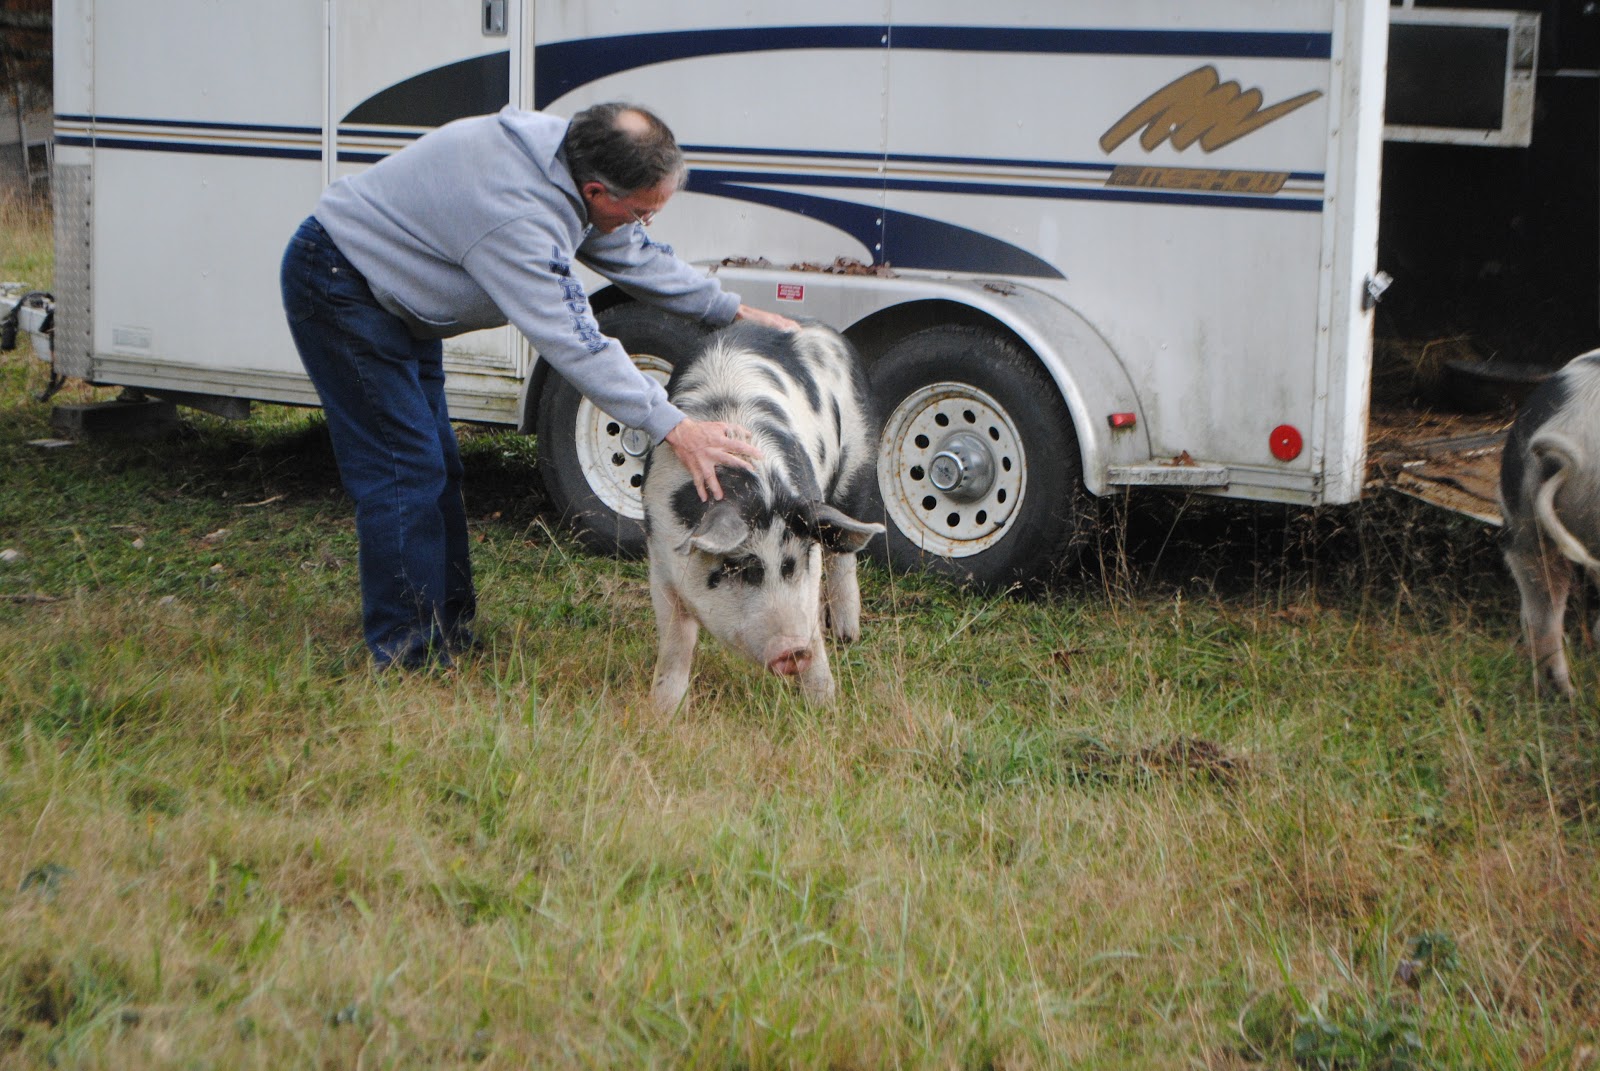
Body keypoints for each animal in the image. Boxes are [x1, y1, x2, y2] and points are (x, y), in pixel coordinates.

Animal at [642, 321, 885, 713]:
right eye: (739, 567)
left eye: (795, 563)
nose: (793, 651)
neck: (760, 489)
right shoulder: (661, 559)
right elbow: (677, 643)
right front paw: (663, 713)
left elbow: (811, 618)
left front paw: (825, 706)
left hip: (859, 463)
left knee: (844, 554)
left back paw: (847, 636)